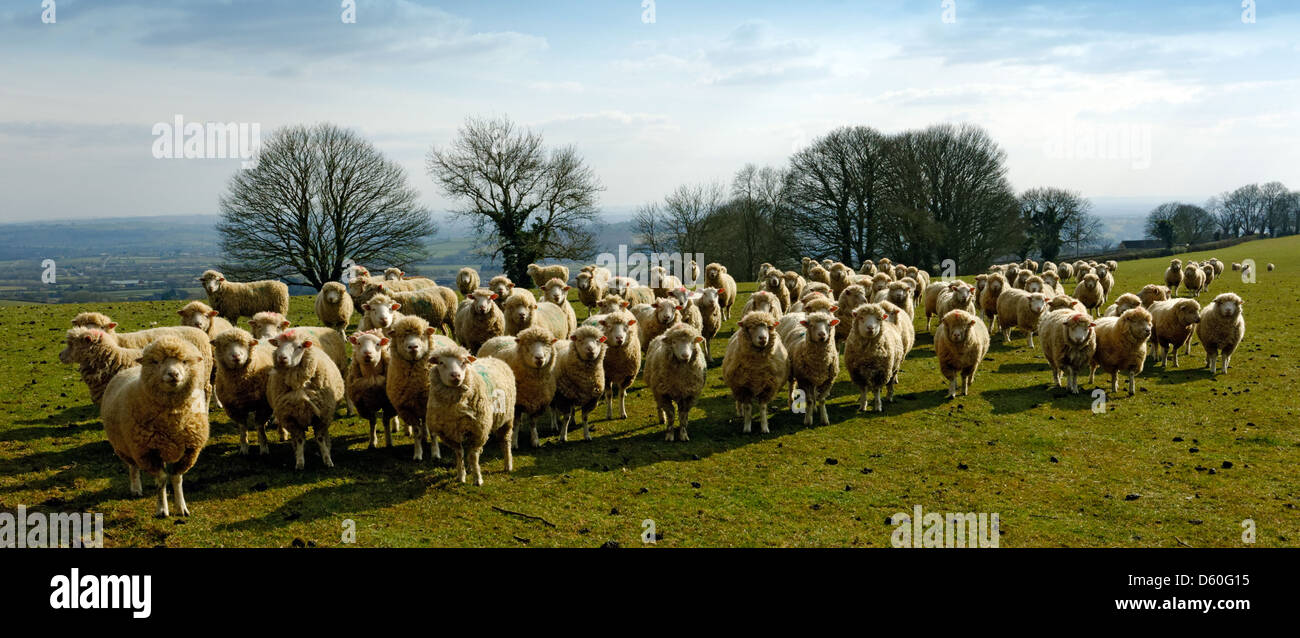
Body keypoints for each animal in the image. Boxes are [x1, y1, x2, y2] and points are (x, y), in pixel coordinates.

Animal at [100, 337, 209, 517]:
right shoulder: (147, 452)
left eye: (184, 361)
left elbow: (176, 478)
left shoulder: (189, 451)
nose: (173, 374)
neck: (173, 420)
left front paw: (181, 507)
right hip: (125, 448)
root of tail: (131, 368)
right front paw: (162, 509)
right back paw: (136, 488)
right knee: (133, 467)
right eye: (156, 361)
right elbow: (161, 480)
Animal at [386, 316, 457, 461]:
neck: (415, 384)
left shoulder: (430, 407)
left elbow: (434, 433)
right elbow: (416, 432)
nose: (413, 347)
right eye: (401, 336)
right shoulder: (408, 409)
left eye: (421, 335)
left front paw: (435, 453)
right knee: (423, 423)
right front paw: (418, 454)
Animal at [425, 344, 515, 485]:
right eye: (441, 363)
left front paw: (477, 479)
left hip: (507, 418)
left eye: (464, 362)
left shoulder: (478, 431)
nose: (456, 375)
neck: (455, 410)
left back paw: (508, 465)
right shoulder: (449, 434)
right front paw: (461, 476)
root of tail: (493, 358)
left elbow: (473, 456)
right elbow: (459, 454)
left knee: (505, 442)